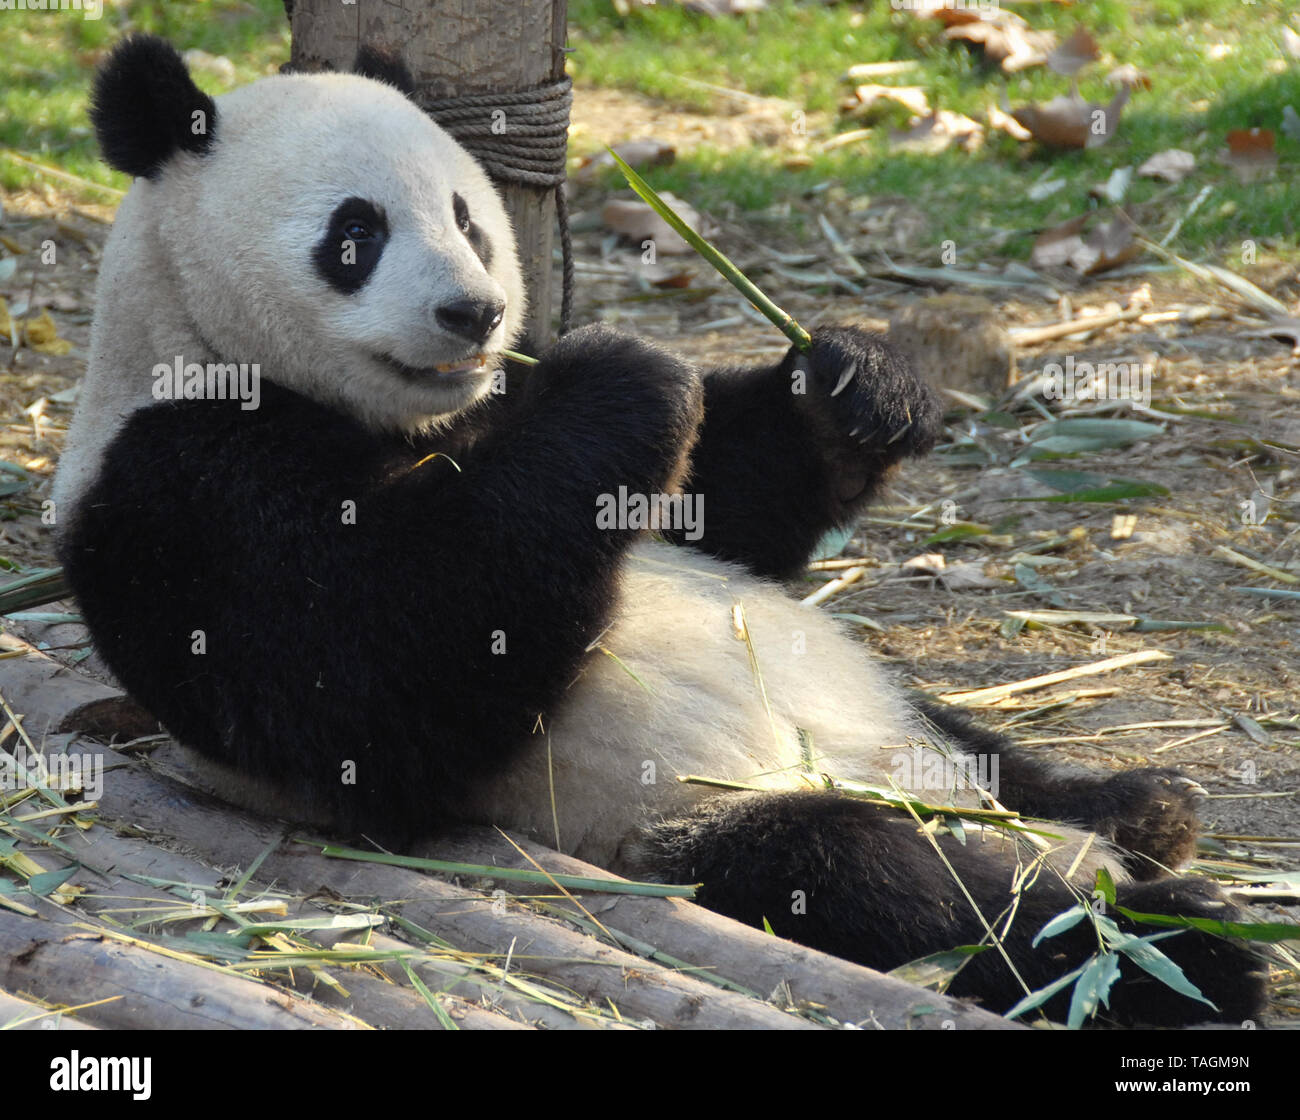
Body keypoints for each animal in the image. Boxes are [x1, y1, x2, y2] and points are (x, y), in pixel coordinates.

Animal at [54, 34, 1266, 1027]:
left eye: (466, 216)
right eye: (356, 234)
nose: (475, 313)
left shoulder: (502, 410)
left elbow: (725, 509)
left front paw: (853, 386)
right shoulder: (173, 482)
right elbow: (365, 671)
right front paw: (629, 383)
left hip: (893, 715)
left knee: (982, 757)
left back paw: (1136, 808)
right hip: (681, 818)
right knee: (879, 880)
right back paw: (1160, 943)